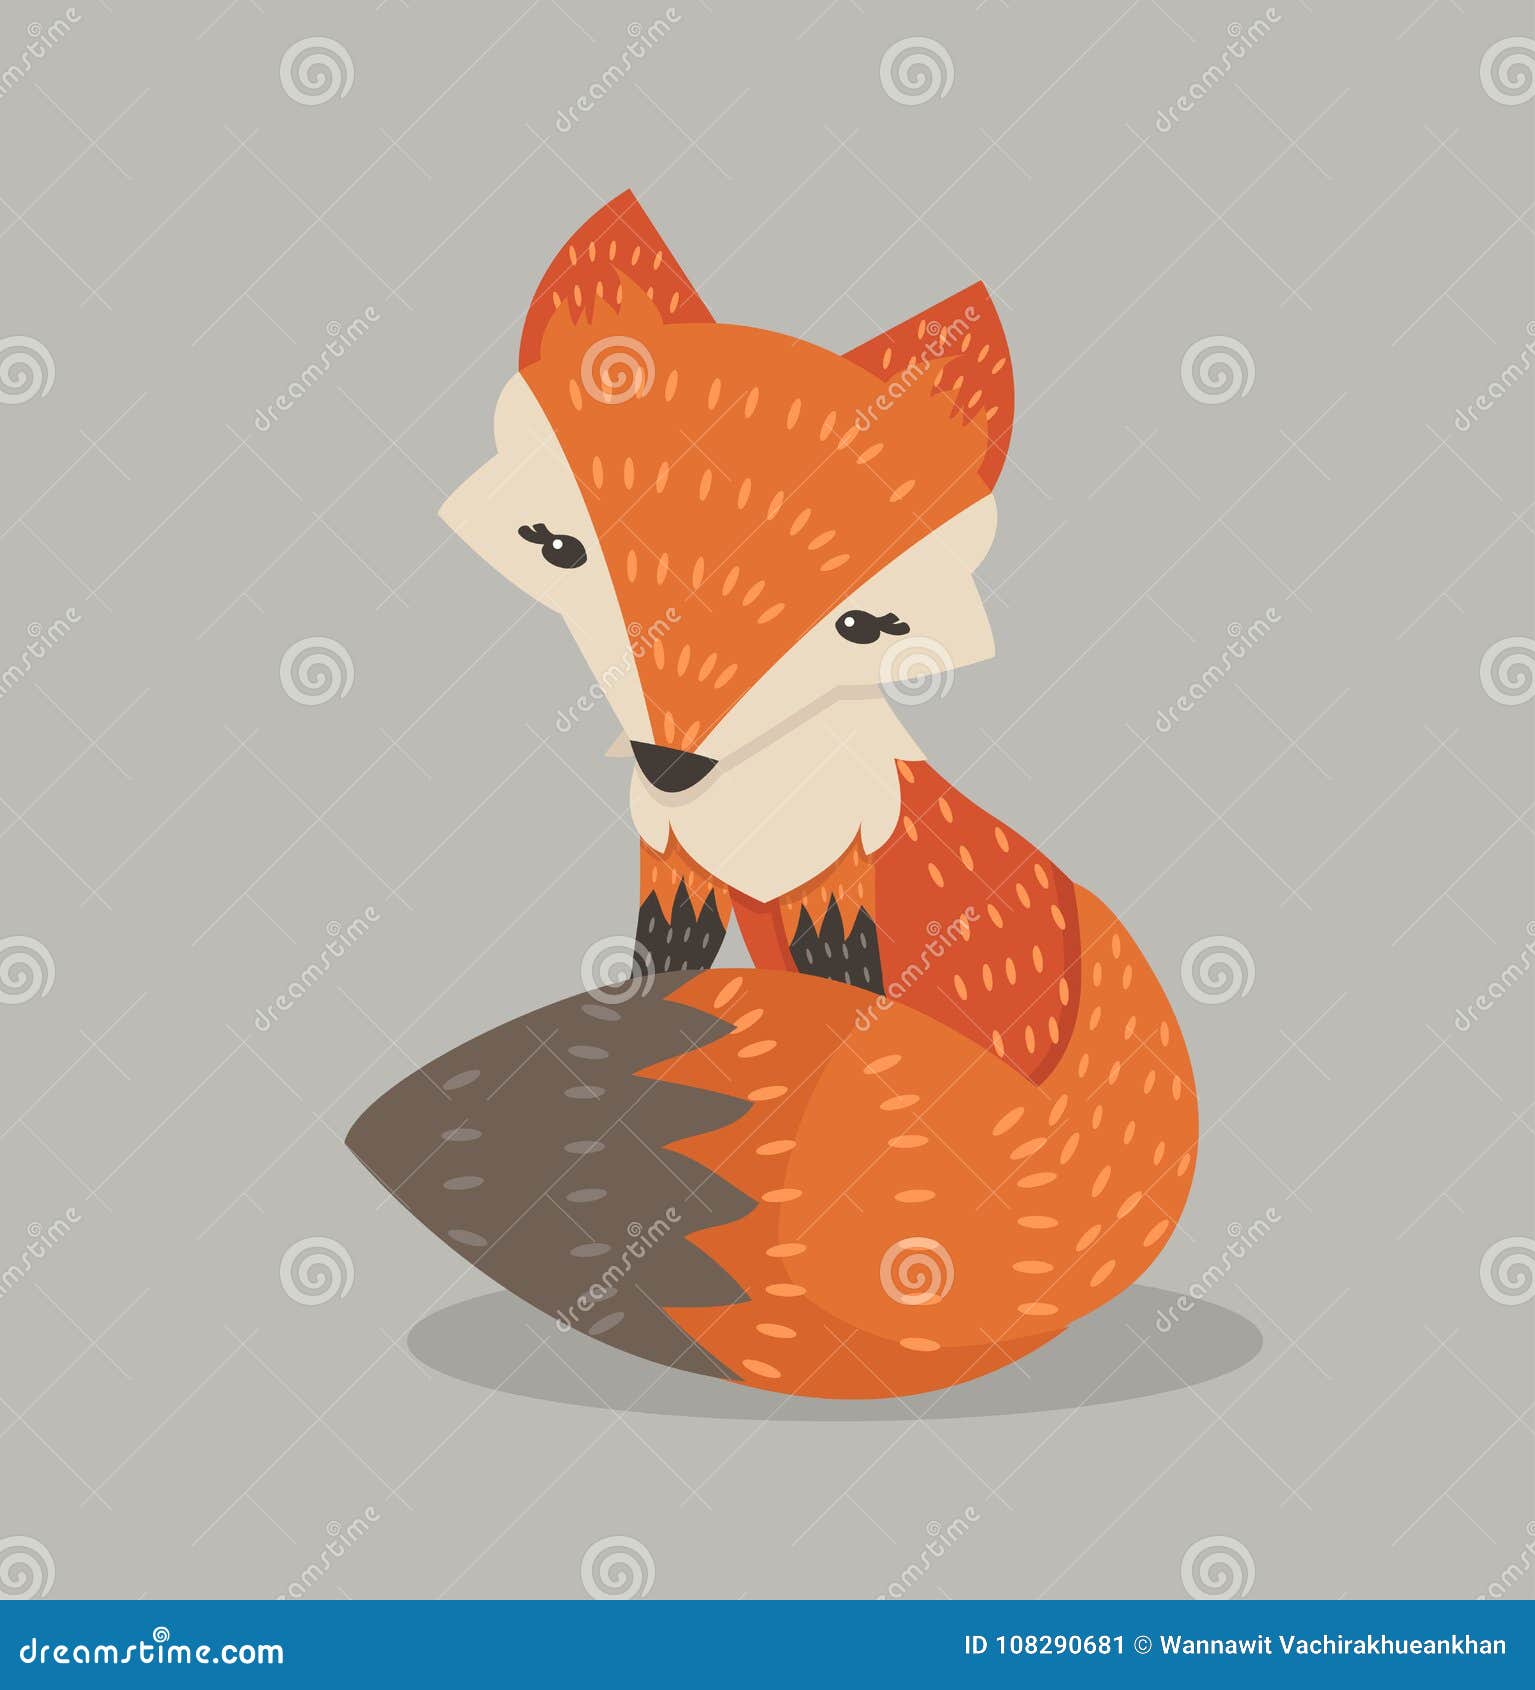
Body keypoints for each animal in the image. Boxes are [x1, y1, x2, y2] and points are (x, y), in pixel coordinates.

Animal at [355, 191, 1198, 1400]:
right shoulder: (676, 881)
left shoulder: (834, 899)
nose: (668, 764)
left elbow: (841, 999)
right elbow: (650, 981)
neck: (748, 822)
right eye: (561, 548)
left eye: (863, 624)